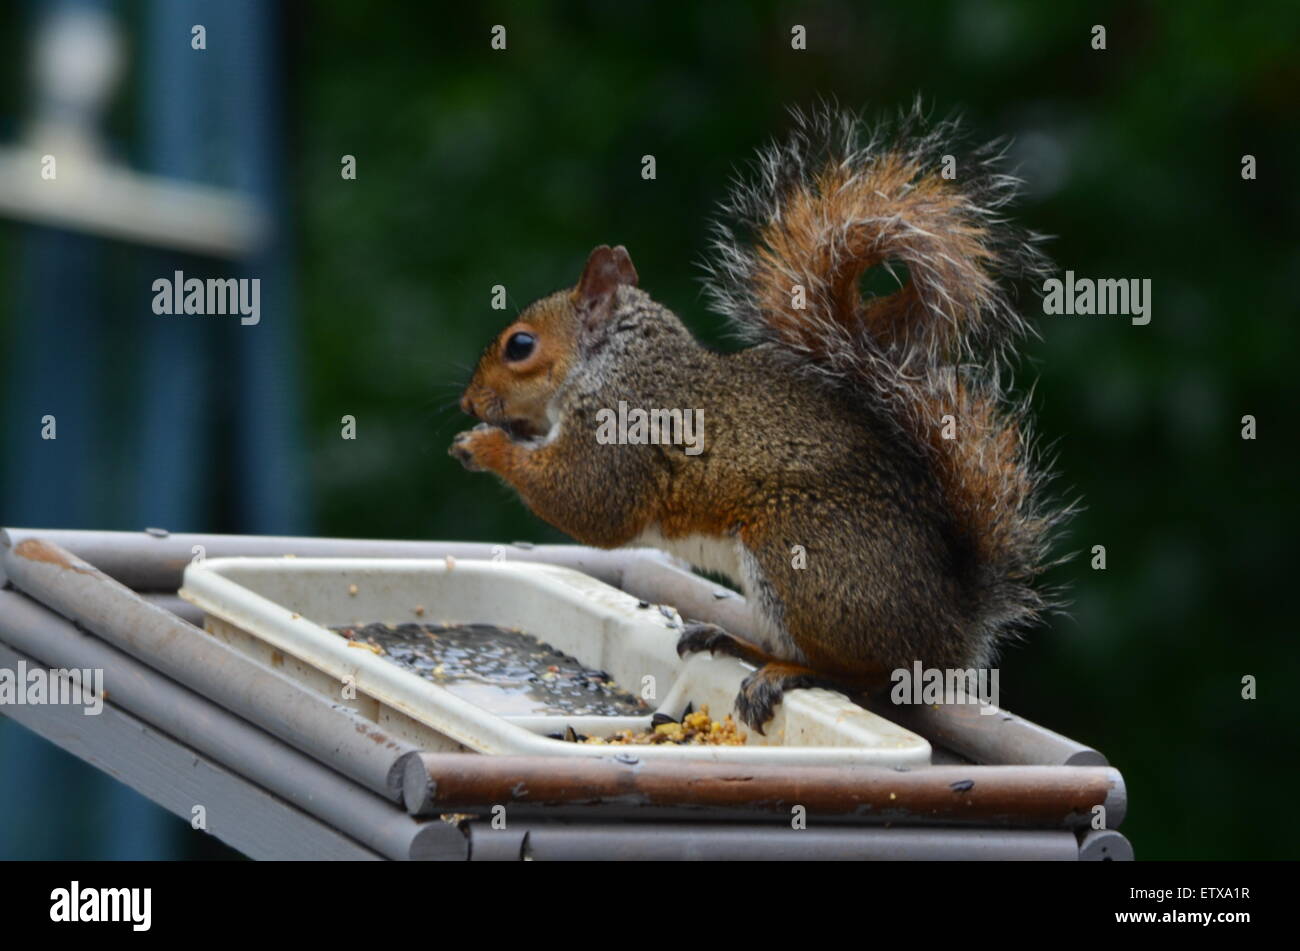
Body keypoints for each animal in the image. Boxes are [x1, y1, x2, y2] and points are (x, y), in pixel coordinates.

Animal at [450, 104, 1069, 731]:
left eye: (520, 345)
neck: (610, 363)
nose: (469, 404)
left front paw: (481, 446)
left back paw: (787, 671)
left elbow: (589, 505)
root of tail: (948, 633)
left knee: (871, 674)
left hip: (800, 554)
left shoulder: (621, 430)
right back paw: (735, 643)